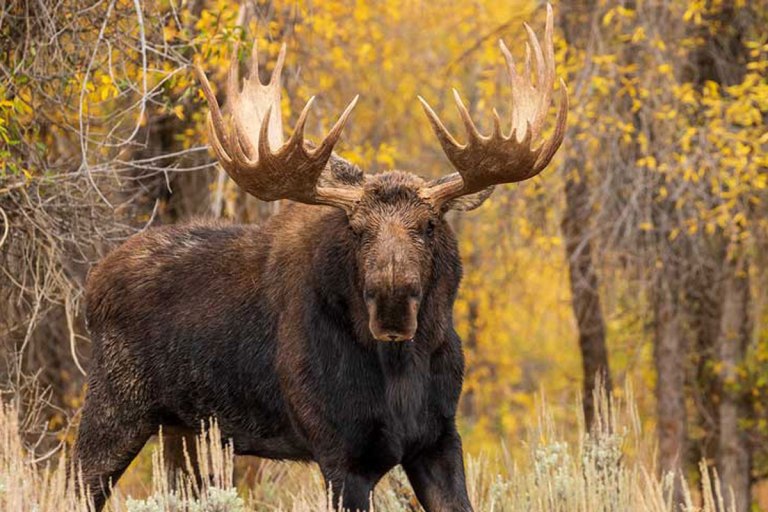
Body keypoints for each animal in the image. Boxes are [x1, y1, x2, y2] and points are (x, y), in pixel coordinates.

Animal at [73, 5, 567, 511]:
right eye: (356, 229)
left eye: (429, 225)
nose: (392, 302)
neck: (400, 374)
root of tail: (92, 285)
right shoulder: (340, 453)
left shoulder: (439, 438)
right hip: (114, 406)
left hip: (185, 430)